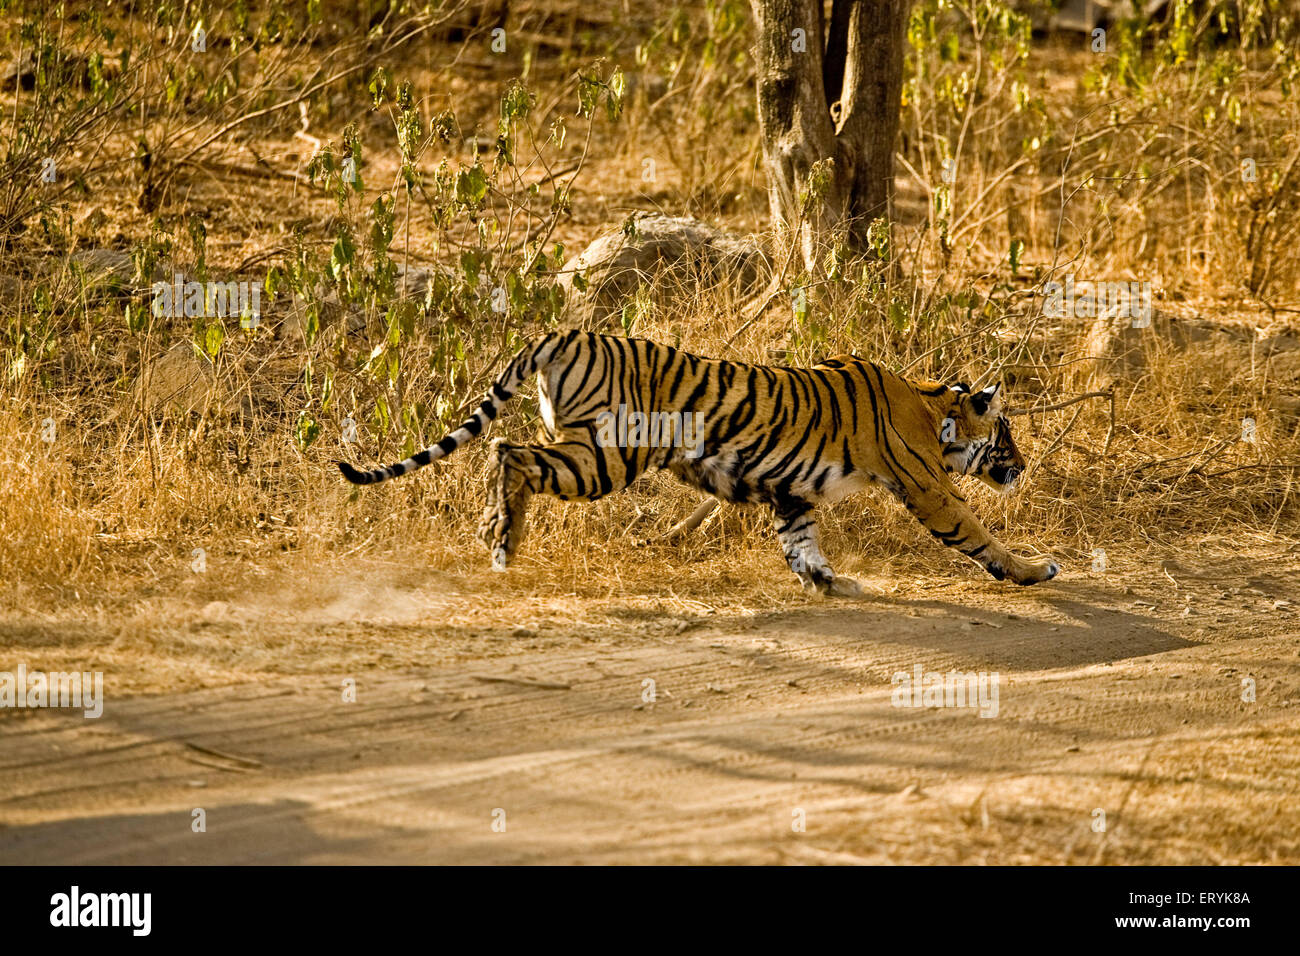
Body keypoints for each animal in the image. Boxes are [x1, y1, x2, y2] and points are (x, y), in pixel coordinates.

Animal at [340, 332, 1060, 595]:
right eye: (1006, 435)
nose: (1023, 466)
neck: (933, 407)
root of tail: (564, 332)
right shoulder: (927, 485)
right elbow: (979, 535)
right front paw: (1034, 570)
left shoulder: (791, 491)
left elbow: (800, 542)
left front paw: (829, 583)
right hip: (608, 455)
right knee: (511, 454)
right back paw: (502, 540)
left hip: (591, 448)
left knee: (500, 448)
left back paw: (495, 534)